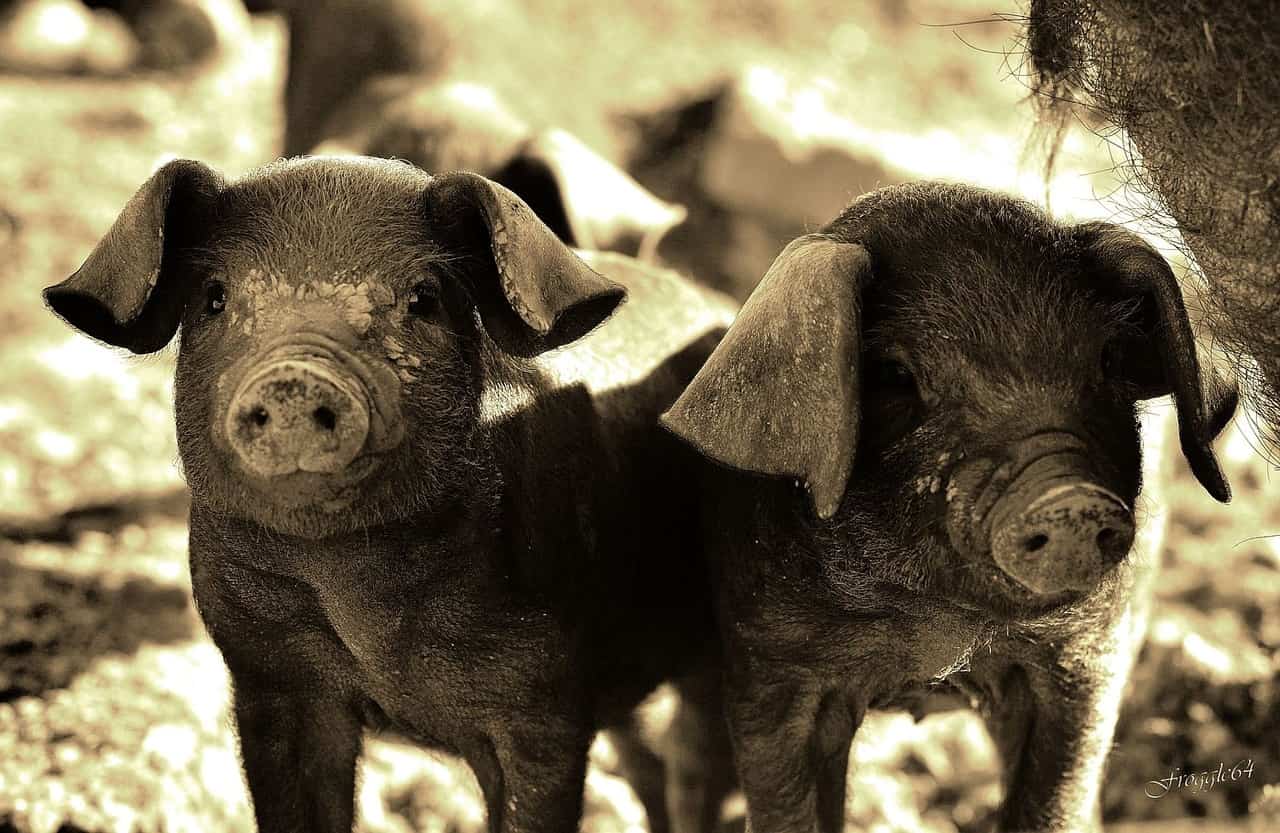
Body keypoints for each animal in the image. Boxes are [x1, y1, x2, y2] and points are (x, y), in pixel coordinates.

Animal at [42, 155, 736, 833]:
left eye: (423, 299)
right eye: (214, 297)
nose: (294, 377)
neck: (360, 605)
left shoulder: (546, 702)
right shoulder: (265, 675)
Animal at [661, 182, 1238, 833]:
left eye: (1109, 361)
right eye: (893, 373)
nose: (1068, 497)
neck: (939, 640)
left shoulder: (1087, 655)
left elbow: (1055, 799)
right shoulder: (772, 663)